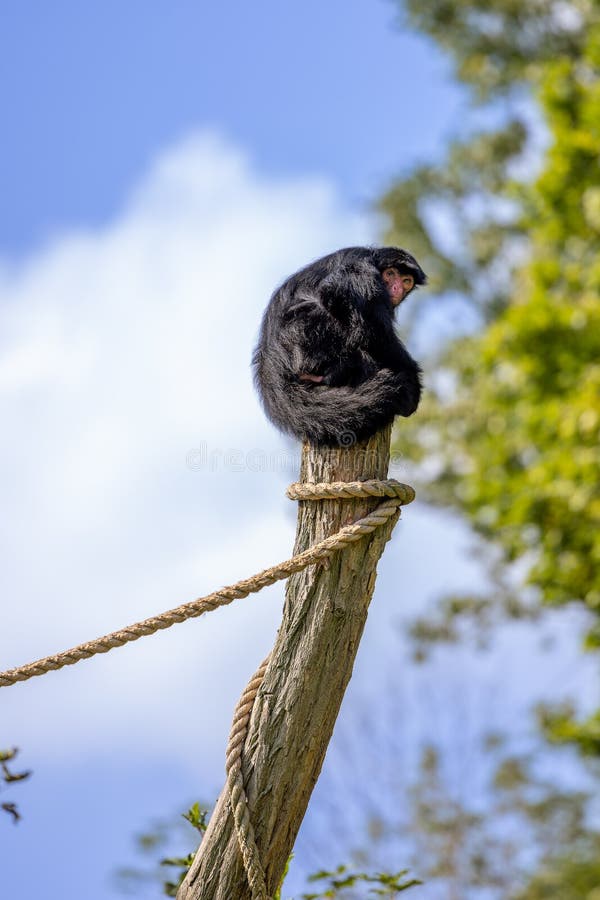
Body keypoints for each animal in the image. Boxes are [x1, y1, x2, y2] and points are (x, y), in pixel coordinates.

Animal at [252, 246, 427, 447]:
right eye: (390, 274)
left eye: (406, 281)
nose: (397, 287)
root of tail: (268, 360)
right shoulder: (361, 268)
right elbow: (337, 289)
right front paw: (411, 377)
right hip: (301, 336)